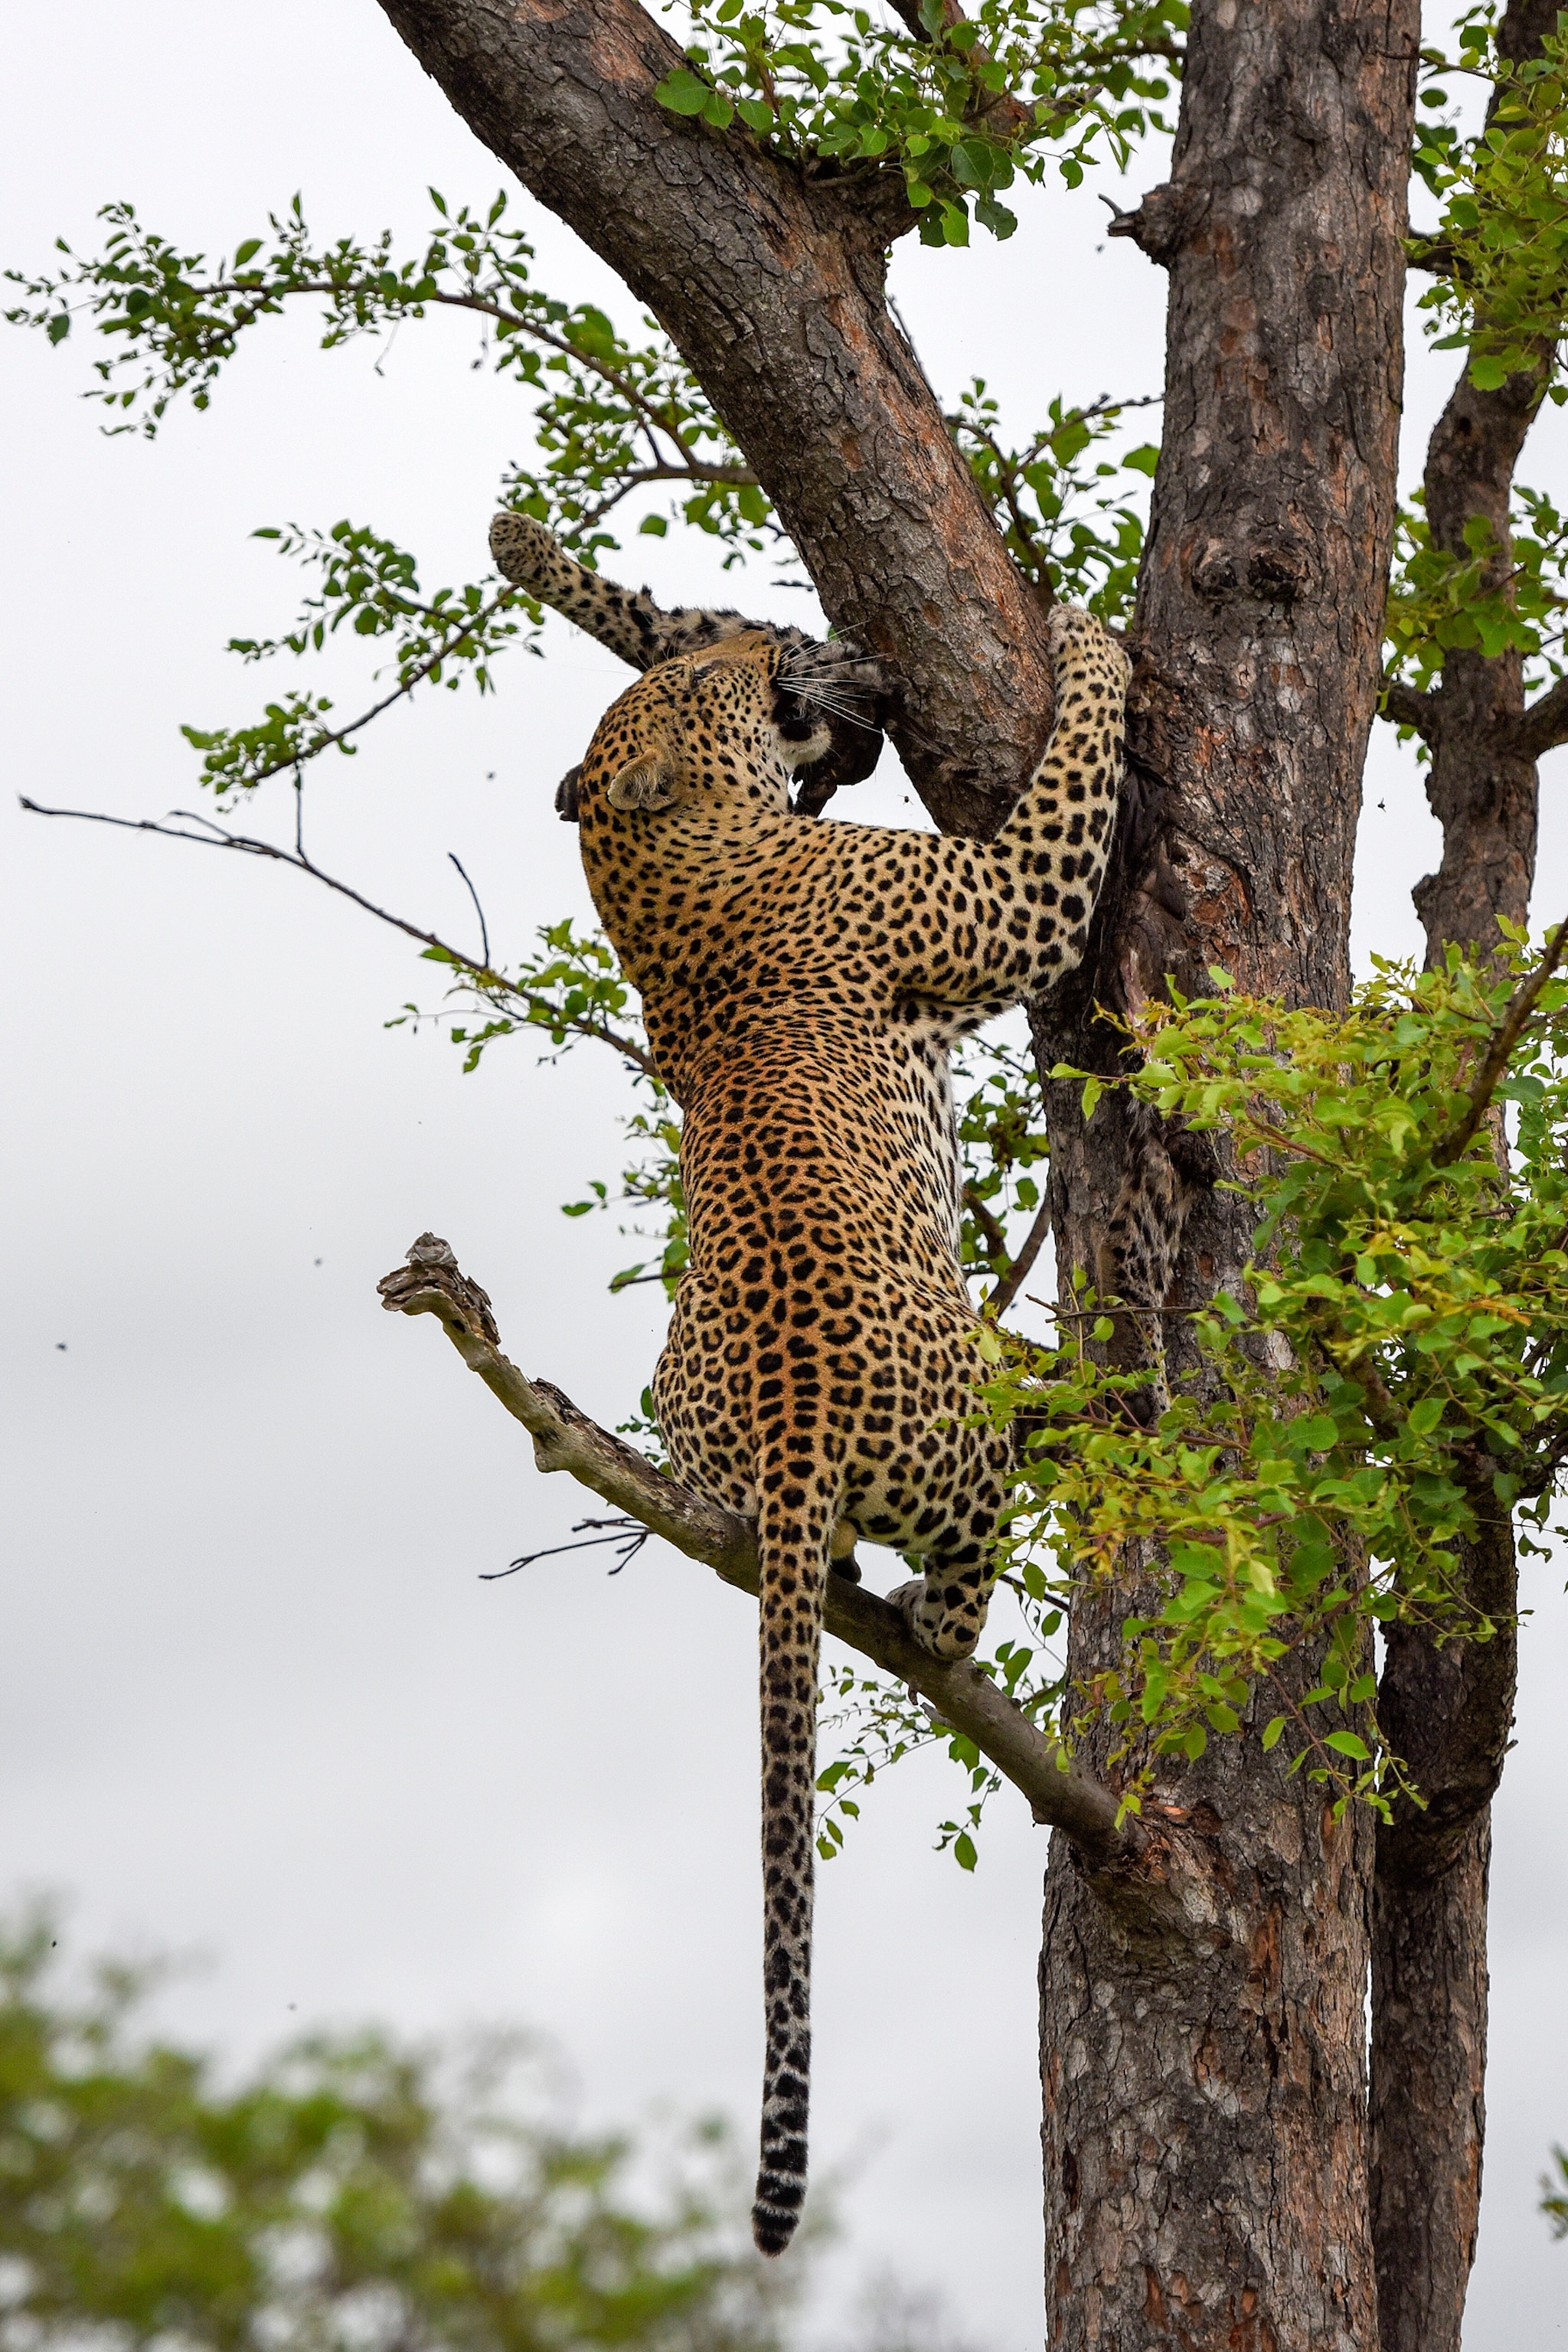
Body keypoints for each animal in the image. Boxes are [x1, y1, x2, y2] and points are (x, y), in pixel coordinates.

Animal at [490, 509, 1130, 2258]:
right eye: (707, 677)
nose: (766, 640)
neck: (655, 864)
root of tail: (786, 1449)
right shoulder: (1001, 899)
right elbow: (1074, 773)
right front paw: (1094, 633)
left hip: (682, 1417)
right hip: (969, 1442)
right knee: (957, 1580)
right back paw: (939, 1617)